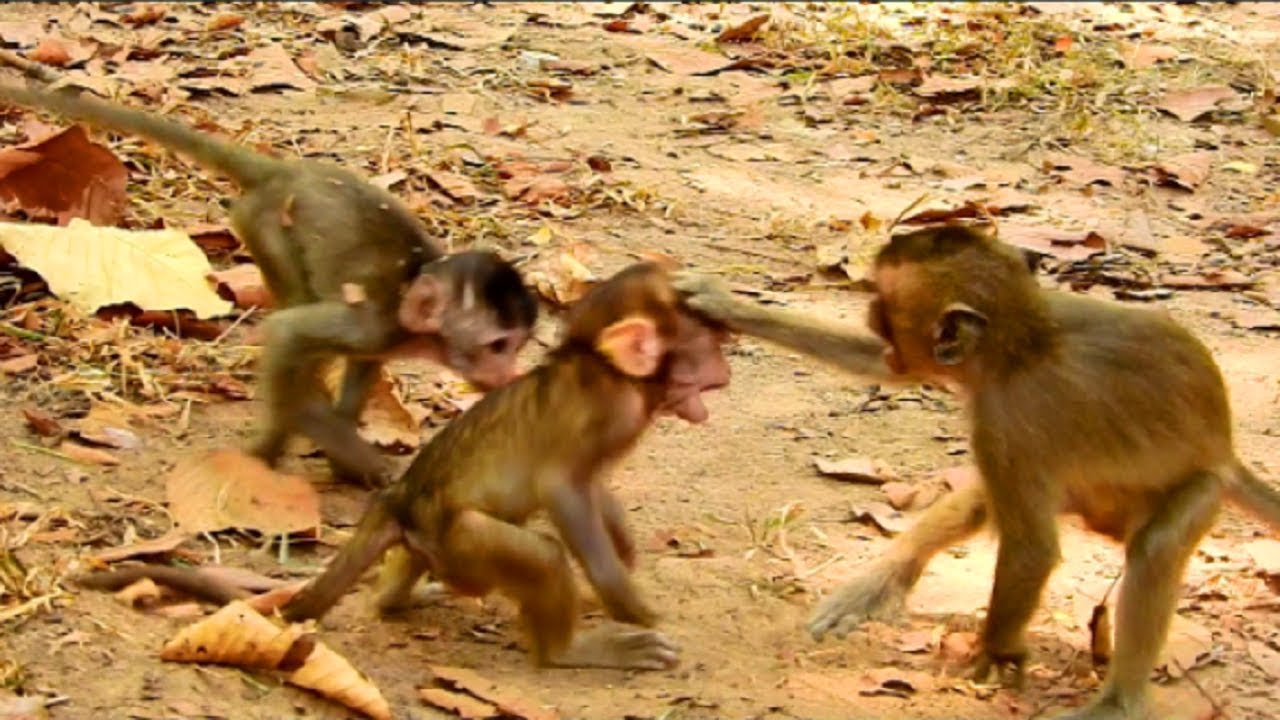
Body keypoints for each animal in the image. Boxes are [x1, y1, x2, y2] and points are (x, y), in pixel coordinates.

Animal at [0, 77, 538, 486]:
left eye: (517, 346)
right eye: (497, 345)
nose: (508, 374)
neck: (414, 301)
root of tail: (286, 173)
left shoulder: (384, 338)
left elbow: (361, 366)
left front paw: (340, 443)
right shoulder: (379, 325)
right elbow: (287, 334)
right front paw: (273, 451)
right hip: (262, 225)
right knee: (294, 309)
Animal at [273, 263, 730, 671]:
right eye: (710, 345)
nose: (725, 372)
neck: (604, 365)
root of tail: (403, 500)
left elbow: (592, 483)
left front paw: (621, 540)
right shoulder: (610, 409)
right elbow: (563, 486)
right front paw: (623, 597)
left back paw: (397, 598)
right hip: (459, 542)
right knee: (542, 554)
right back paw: (567, 652)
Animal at [675, 225, 1280, 720]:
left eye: (883, 304)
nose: (869, 314)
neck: (1024, 342)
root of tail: (1225, 451)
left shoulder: (1006, 421)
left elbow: (1032, 551)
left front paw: (997, 650)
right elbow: (884, 370)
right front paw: (722, 302)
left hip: (1199, 489)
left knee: (1152, 548)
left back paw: (1117, 703)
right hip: (1087, 492)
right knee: (983, 501)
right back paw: (881, 583)